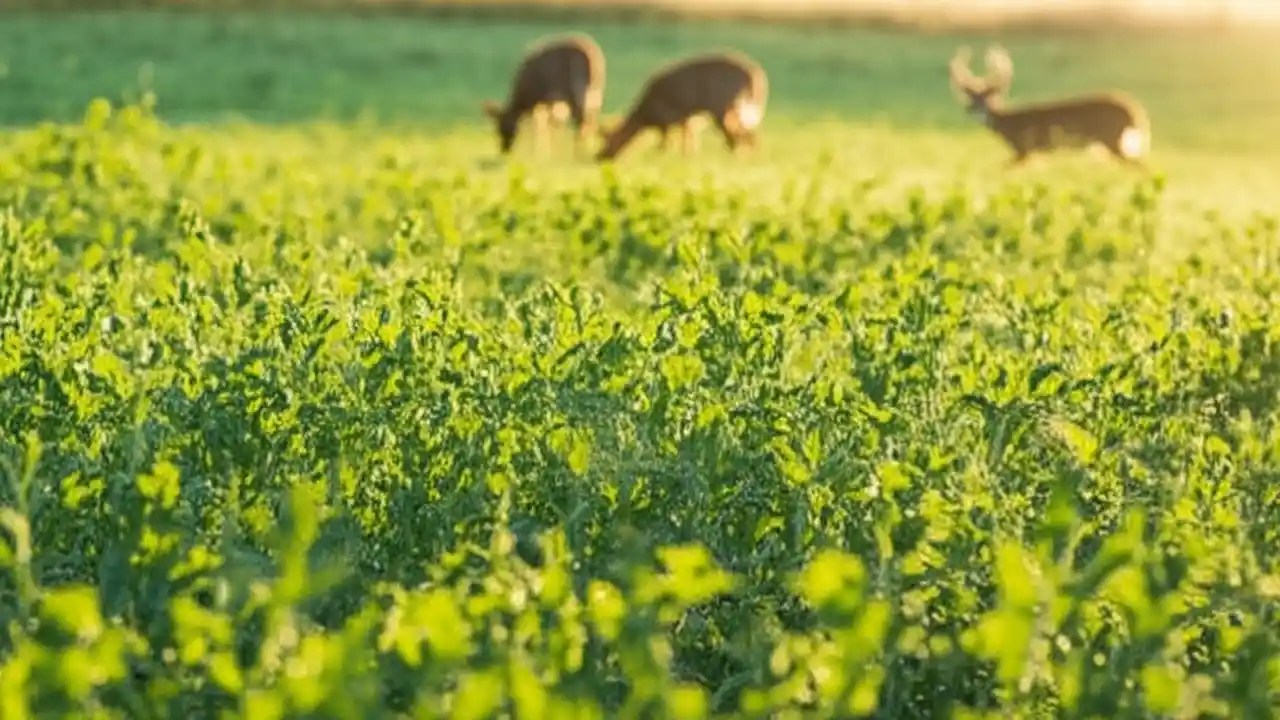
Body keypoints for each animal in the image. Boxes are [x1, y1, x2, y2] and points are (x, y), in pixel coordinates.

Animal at [596, 51, 768, 162]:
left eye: (607, 140)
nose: (599, 157)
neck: (645, 115)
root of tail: (756, 74)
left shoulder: (667, 118)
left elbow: (666, 143)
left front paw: (658, 156)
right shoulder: (688, 118)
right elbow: (688, 138)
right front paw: (688, 156)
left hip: (723, 104)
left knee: (737, 134)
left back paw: (738, 156)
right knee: (746, 133)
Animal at [948, 45, 1151, 167]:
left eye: (989, 98)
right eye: (970, 98)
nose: (974, 111)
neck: (1010, 124)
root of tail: (1135, 111)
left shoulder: (1026, 148)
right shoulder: (1035, 153)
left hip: (1112, 138)